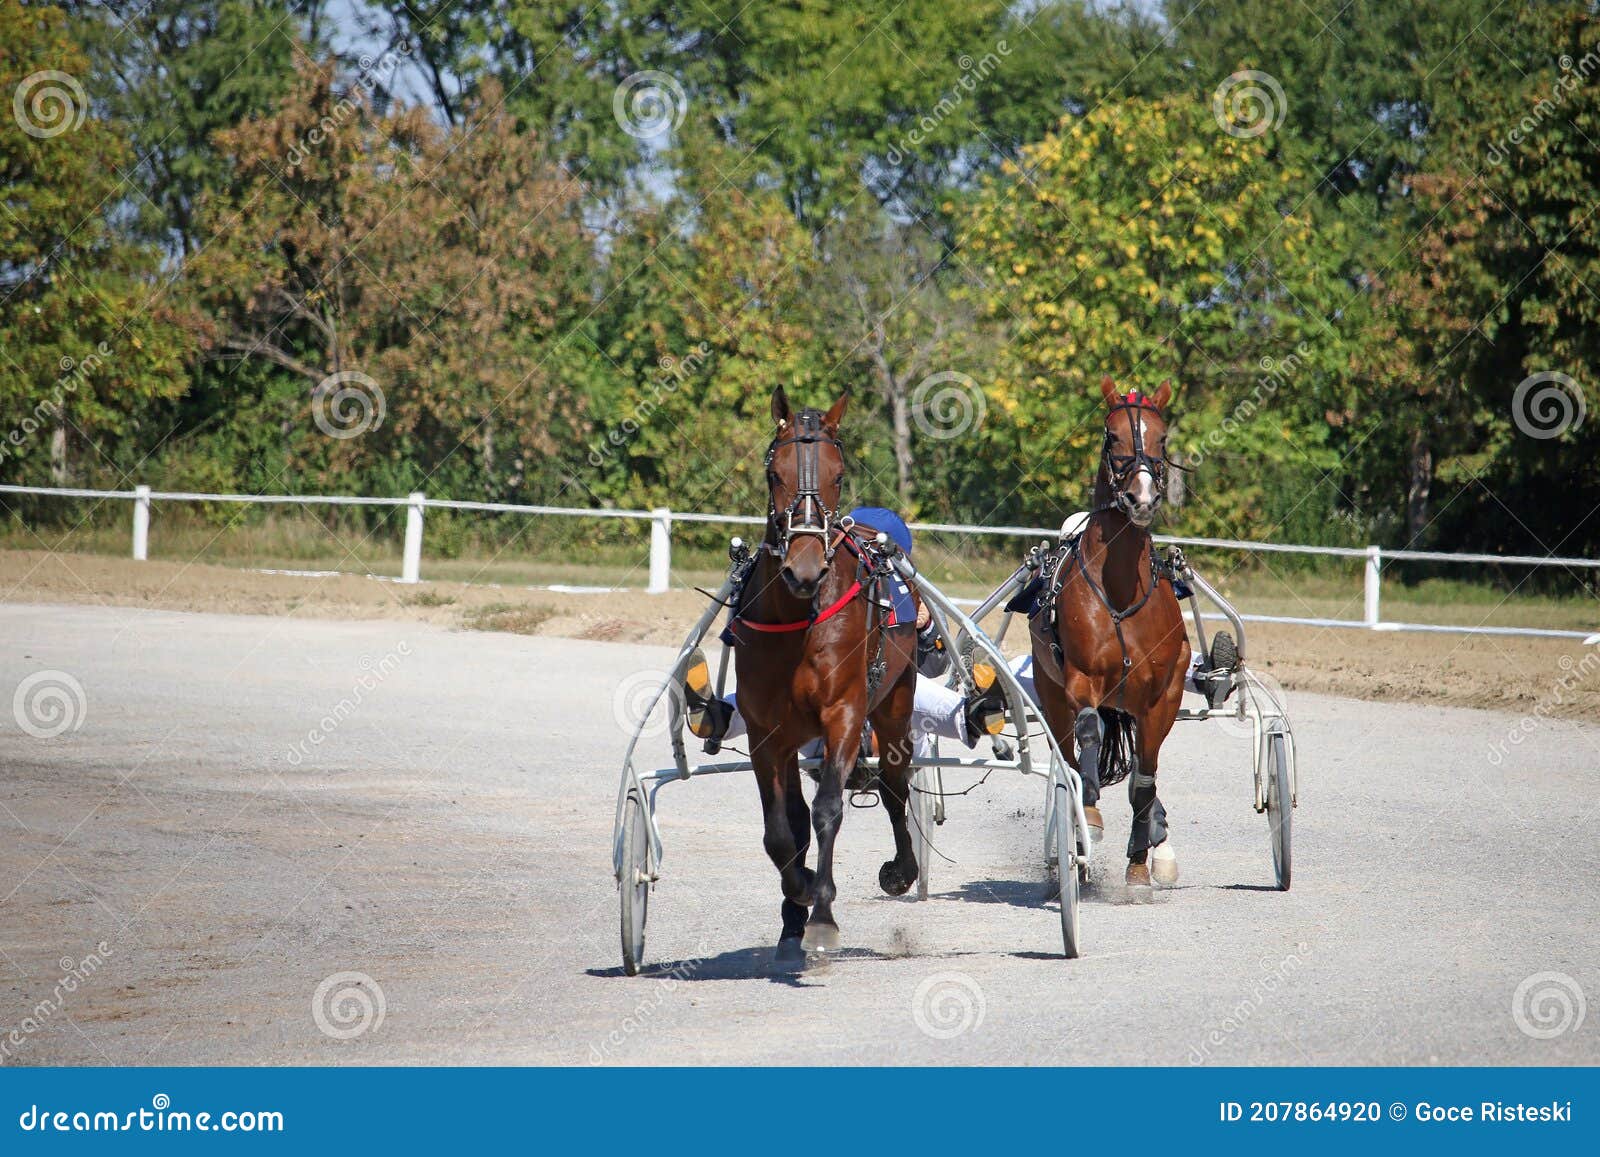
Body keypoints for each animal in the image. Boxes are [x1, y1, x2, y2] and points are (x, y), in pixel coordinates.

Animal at [730, 386, 920, 963]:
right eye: (775, 473)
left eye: (838, 474)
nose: (806, 569)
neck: (799, 616)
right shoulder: (766, 730)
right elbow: (780, 831)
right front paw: (799, 896)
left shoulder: (845, 713)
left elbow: (828, 810)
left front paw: (822, 914)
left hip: (896, 702)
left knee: (896, 783)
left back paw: (902, 869)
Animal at [1029, 376, 1191, 888]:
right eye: (1111, 436)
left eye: (1162, 438)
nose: (1142, 498)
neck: (1119, 591)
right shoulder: (1080, 680)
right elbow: (1088, 735)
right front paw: (1092, 818)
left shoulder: (1161, 697)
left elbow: (1145, 778)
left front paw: (1140, 860)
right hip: (1051, 692)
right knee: (1070, 754)